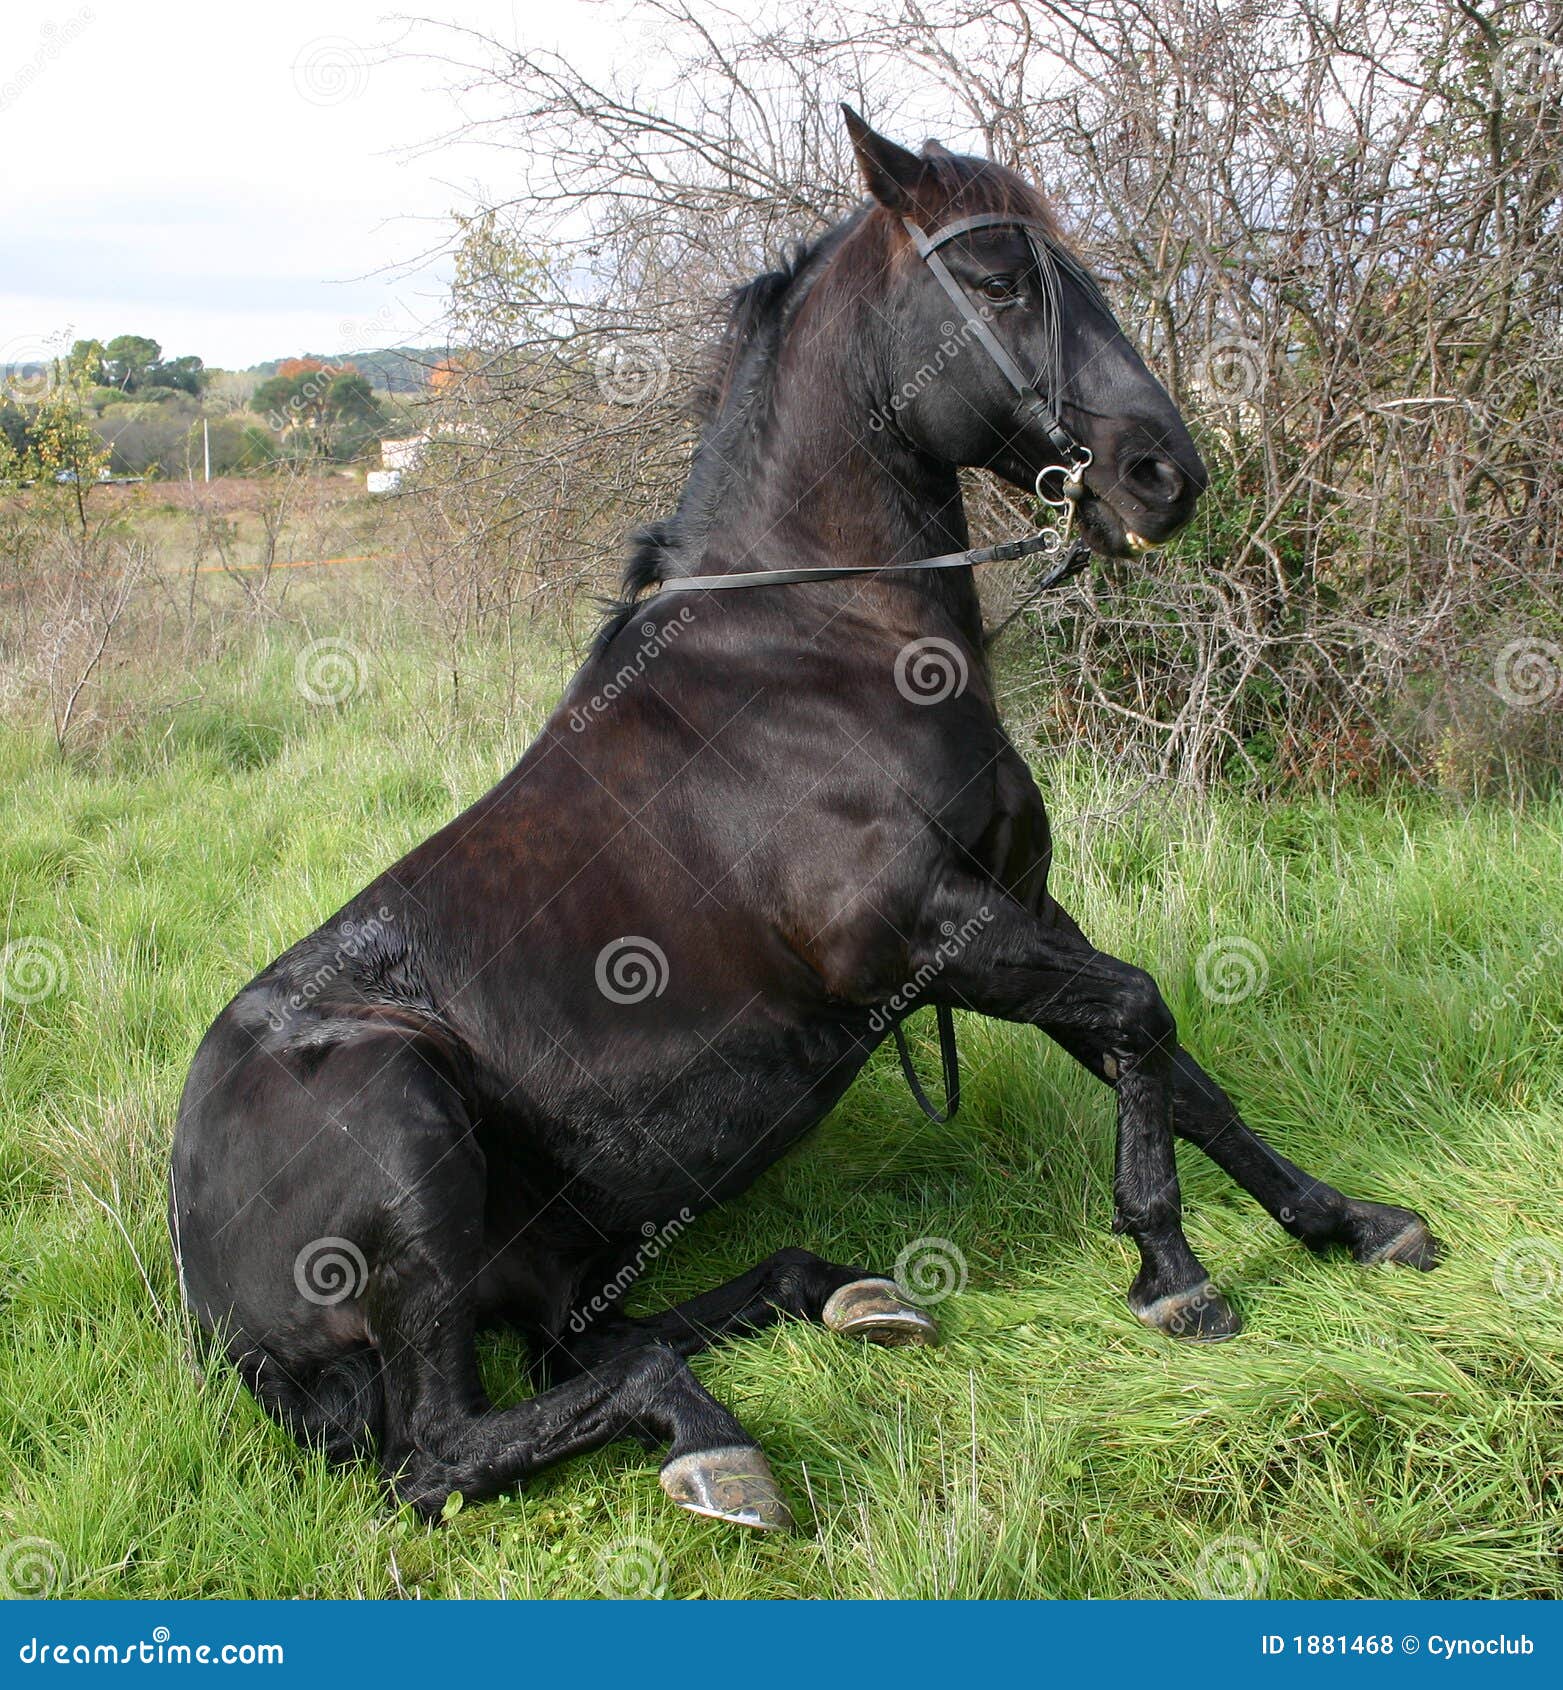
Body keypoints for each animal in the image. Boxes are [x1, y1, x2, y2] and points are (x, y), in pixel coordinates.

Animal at [170, 108, 1438, 1531]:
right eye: (998, 276)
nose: (1166, 474)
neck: (821, 645)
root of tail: (203, 1288)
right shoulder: (923, 933)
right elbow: (1142, 1011)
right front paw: (1174, 1269)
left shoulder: (1017, 908)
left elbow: (1172, 1064)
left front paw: (1346, 1220)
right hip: (407, 1132)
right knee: (441, 1447)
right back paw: (712, 1438)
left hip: (557, 1251)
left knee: (583, 1347)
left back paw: (838, 1294)